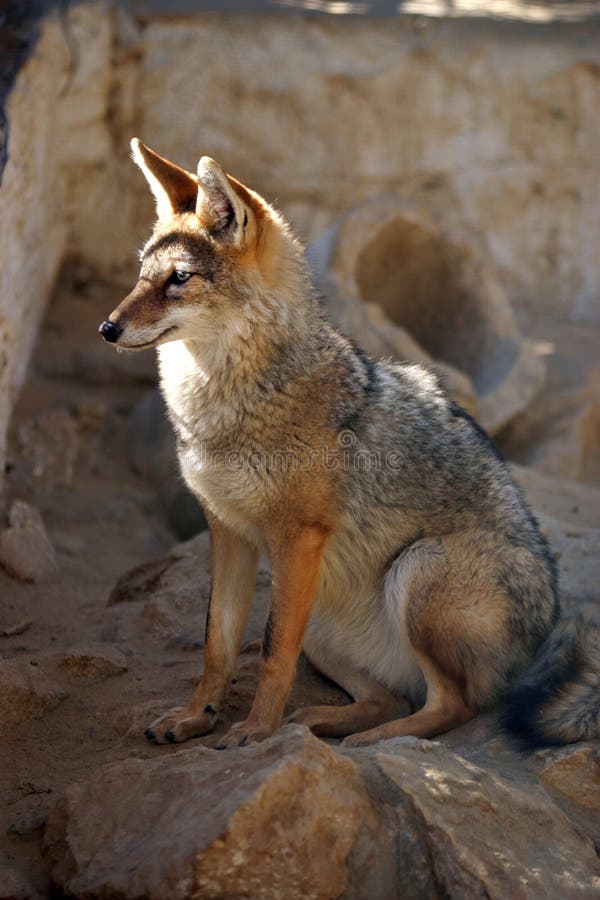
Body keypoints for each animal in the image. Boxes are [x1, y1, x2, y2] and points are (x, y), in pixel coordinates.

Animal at [99, 139, 600, 750]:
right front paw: (196, 717)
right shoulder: (227, 532)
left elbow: (270, 653)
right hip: (321, 626)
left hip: (415, 570)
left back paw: (371, 740)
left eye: (179, 279)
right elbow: (217, 645)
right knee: (390, 697)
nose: (107, 328)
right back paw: (320, 721)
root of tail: (549, 627)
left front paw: (254, 731)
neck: (227, 406)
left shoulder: (297, 538)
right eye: (141, 275)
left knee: (455, 704)